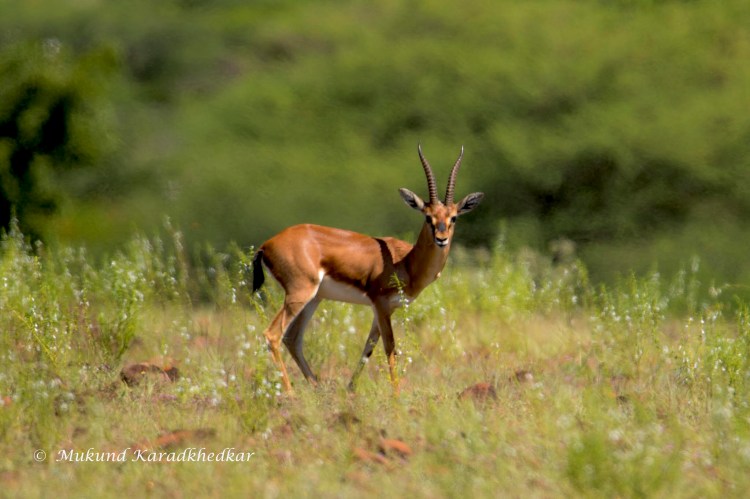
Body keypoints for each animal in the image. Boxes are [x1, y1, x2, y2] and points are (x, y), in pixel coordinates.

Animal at [252, 145, 483, 394]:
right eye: (428, 217)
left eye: (454, 217)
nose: (441, 238)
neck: (406, 262)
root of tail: (267, 244)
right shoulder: (381, 305)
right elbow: (390, 348)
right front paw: (396, 396)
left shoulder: (384, 310)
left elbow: (368, 348)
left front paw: (350, 389)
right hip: (299, 294)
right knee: (273, 335)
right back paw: (291, 394)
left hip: (314, 298)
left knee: (292, 339)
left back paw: (317, 388)